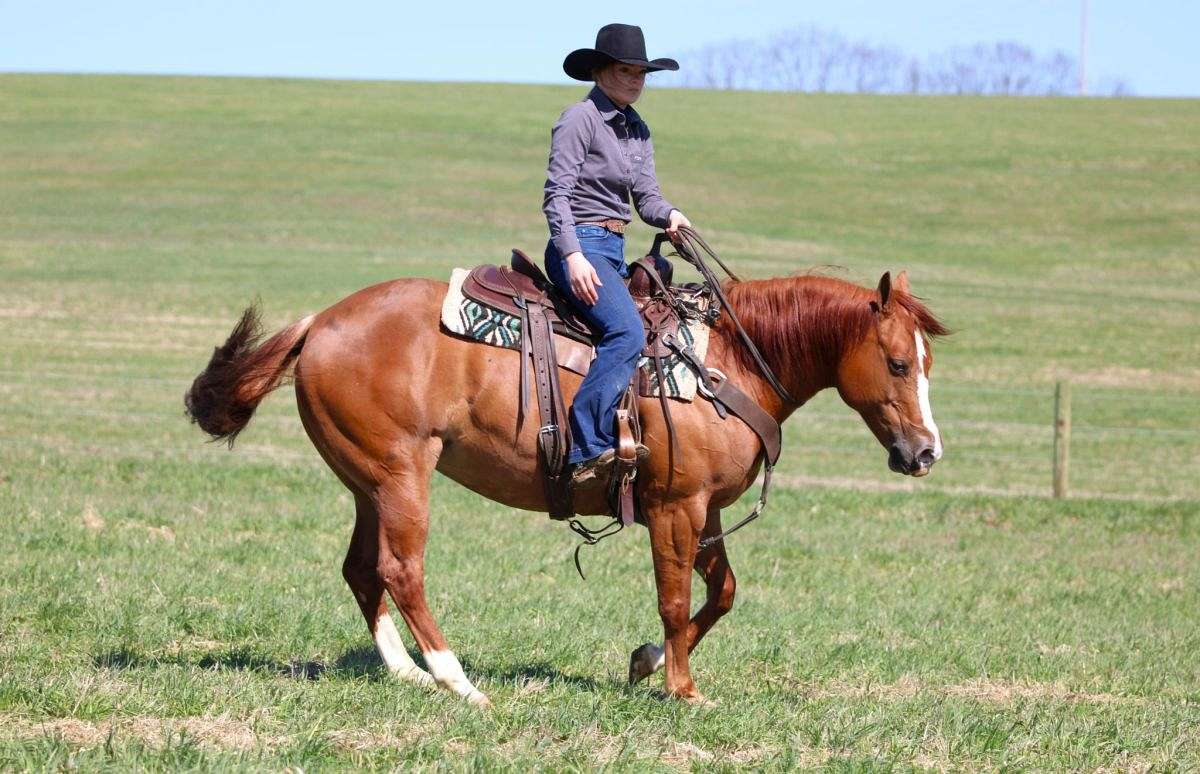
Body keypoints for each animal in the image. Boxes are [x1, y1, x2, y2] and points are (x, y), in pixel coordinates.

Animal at [185, 266, 947, 705]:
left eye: (925, 362)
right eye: (898, 363)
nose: (926, 453)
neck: (727, 361)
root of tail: (318, 323)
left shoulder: (705, 511)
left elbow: (723, 592)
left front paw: (645, 663)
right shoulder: (674, 508)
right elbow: (675, 599)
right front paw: (681, 690)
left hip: (366, 484)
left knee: (361, 569)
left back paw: (406, 672)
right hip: (401, 477)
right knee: (402, 570)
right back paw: (457, 681)